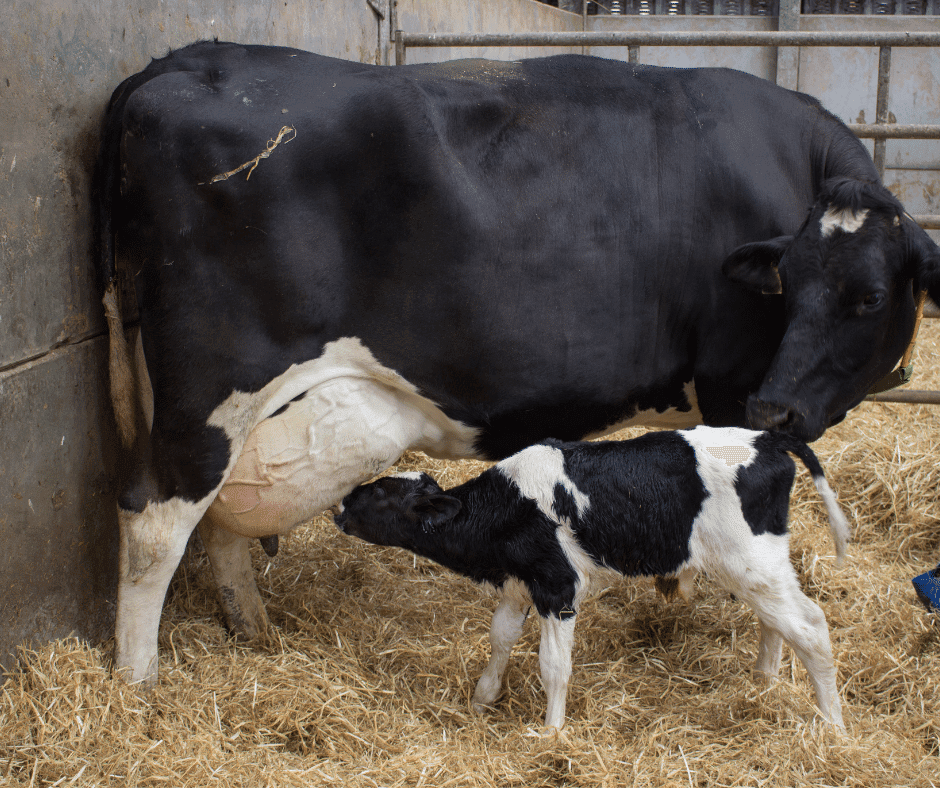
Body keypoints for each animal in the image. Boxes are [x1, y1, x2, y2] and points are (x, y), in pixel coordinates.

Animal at [94, 40, 940, 685]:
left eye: (867, 296)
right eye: (789, 283)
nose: (779, 408)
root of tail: (189, 60)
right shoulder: (733, 382)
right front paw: (757, 655)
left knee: (219, 525)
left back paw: (253, 631)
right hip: (209, 392)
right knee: (154, 522)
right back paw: (140, 683)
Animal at [334, 426, 850, 730]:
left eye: (380, 494)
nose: (340, 505)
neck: (508, 507)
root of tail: (769, 438)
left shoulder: (558, 587)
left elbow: (553, 666)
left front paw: (551, 732)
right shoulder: (521, 584)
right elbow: (500, 637)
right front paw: (482, 701)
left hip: (750, 563)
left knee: (810, 626)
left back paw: (832, 724)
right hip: (758, 569)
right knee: (777, 622)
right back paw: (763, 686)